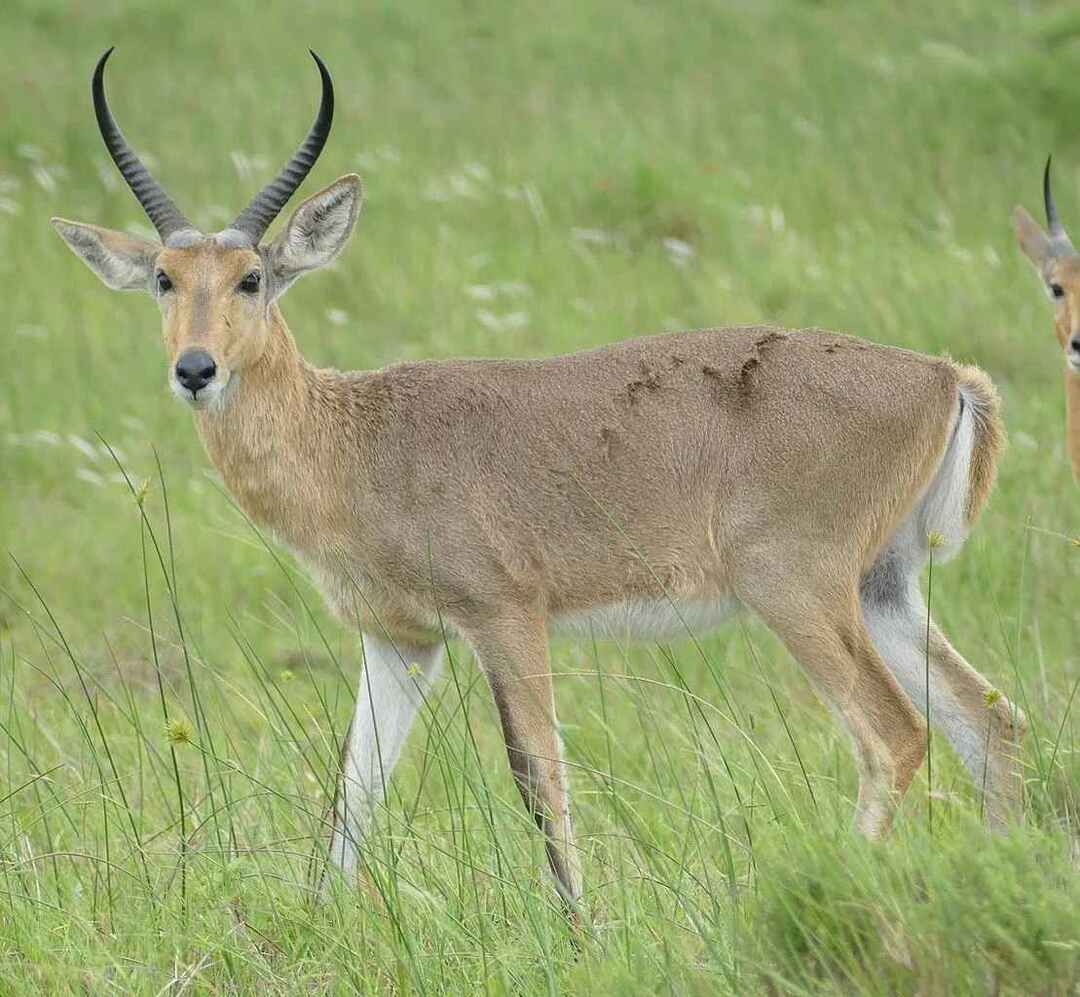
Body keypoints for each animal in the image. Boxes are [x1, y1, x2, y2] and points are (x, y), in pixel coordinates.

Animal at [52, 48, 1028, 920]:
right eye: (164, 278)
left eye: (252, 277)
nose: (195, 368)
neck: (358, 441)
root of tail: (945, 375)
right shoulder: (402, 641)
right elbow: (353, 790)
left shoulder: (505, 616)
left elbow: (538, 775)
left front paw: (579, 930)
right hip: (882, 587)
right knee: (989, 721)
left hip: (793, 585)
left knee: (893, 734)